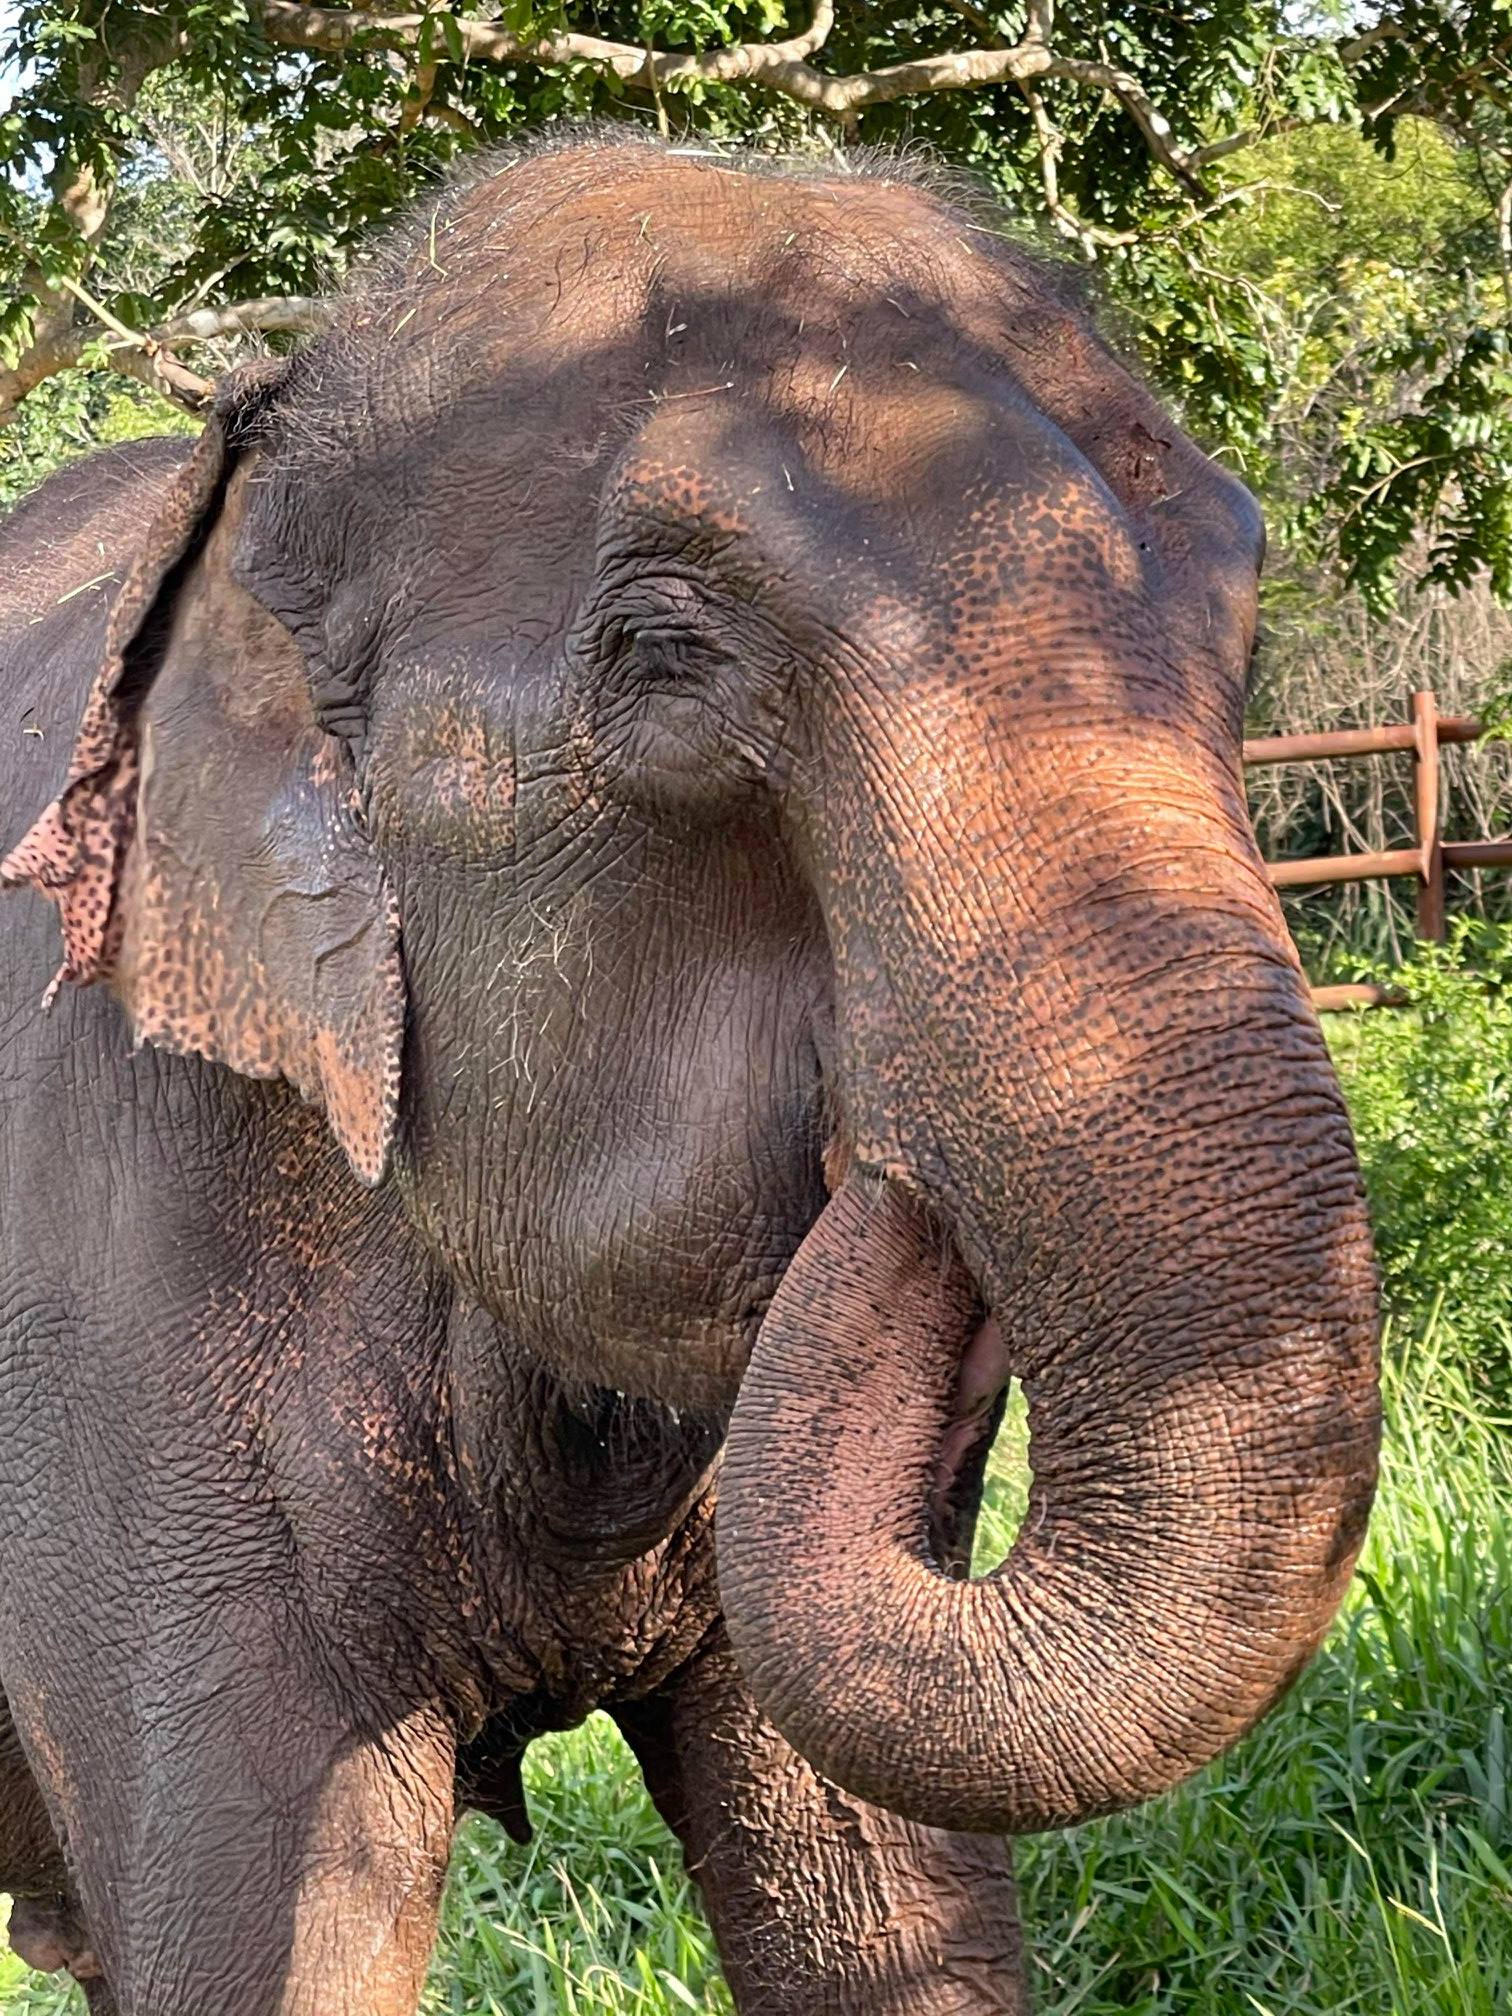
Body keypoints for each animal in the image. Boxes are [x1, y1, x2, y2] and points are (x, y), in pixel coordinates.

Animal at [0, 133, 1381, 2015]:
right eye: (667, 655)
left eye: (1242, 622)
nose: (885, 1167)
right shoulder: (115, 1284)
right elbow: (262, 1925)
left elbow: (876, 1882)